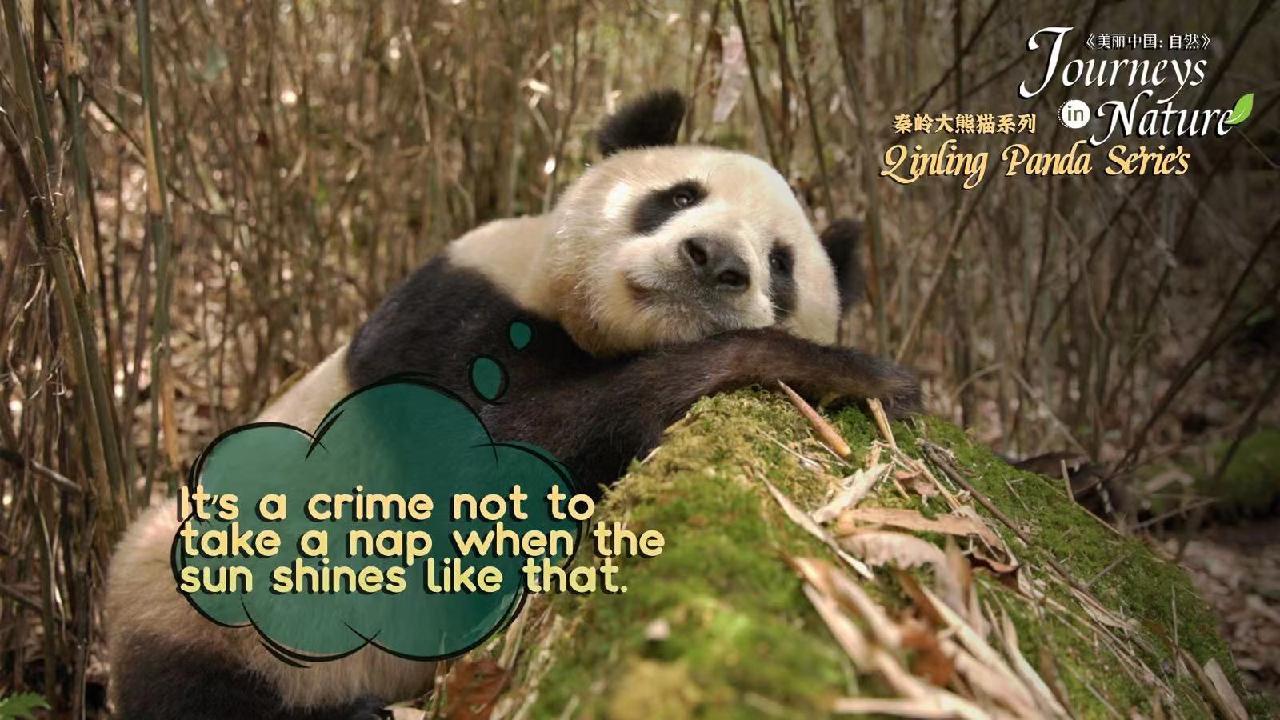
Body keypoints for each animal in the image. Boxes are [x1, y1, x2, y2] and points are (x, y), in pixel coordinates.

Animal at [105, 90, 920, 720]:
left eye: (780, 265)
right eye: (680, 195)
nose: (715, 259)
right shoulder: (448, 311)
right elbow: (491, 469)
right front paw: (840, 370)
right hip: (205, 600)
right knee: (198, 689)